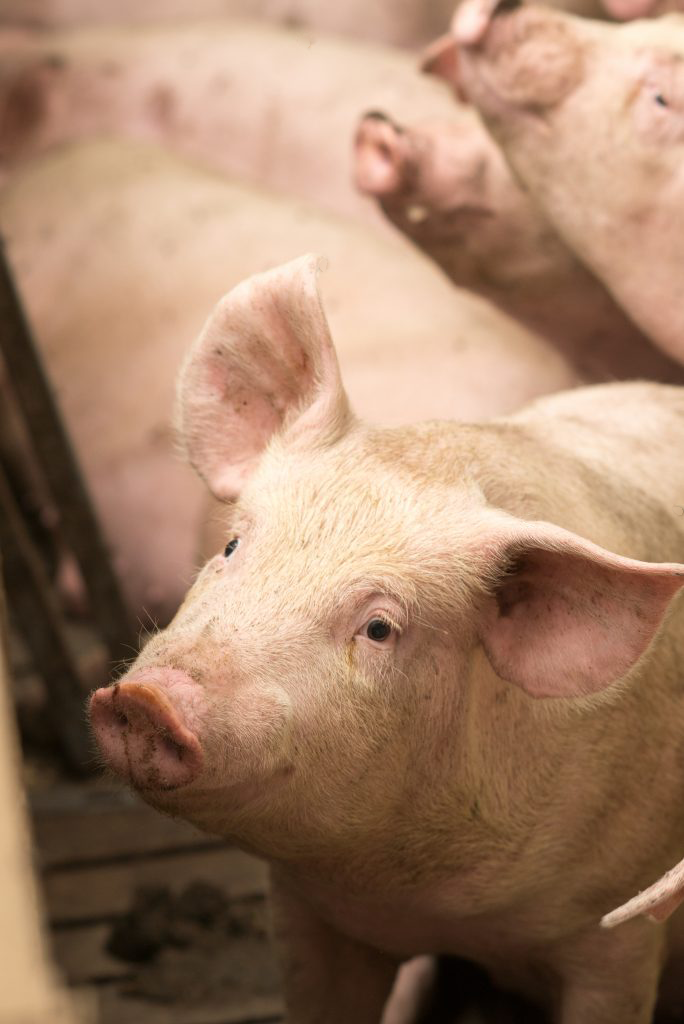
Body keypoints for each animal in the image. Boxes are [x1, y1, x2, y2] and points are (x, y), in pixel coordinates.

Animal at [89, 253, 684, 1024]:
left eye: (379, 628)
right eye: (232, 545)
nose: (148, 701)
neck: (422, 900)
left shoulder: (615, 938)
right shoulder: (308, 910)